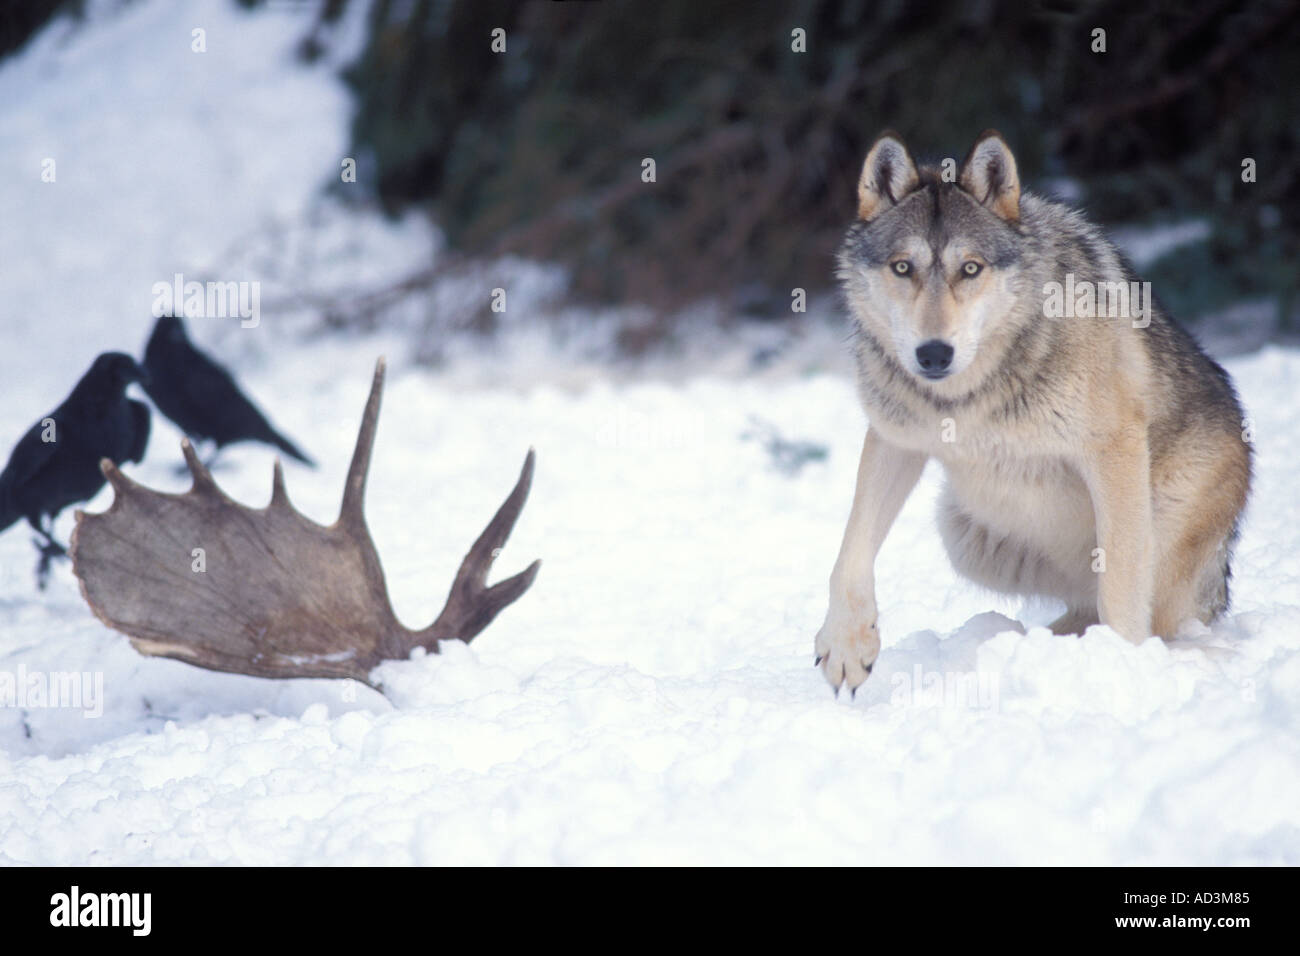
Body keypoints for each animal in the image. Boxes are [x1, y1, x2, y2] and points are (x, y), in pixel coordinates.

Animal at [815, 130, 1252, 694]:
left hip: (1162, 525)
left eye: (970, 268)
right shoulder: (896, 438)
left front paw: (1118, 669)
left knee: (1160, 620)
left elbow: (1121, 584)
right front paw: (846, 645)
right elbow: (849, 551)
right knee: (1081, 609)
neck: (969, 396)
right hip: (962, 536)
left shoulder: (1112, 449)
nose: (933, 354)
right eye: (902, 268)